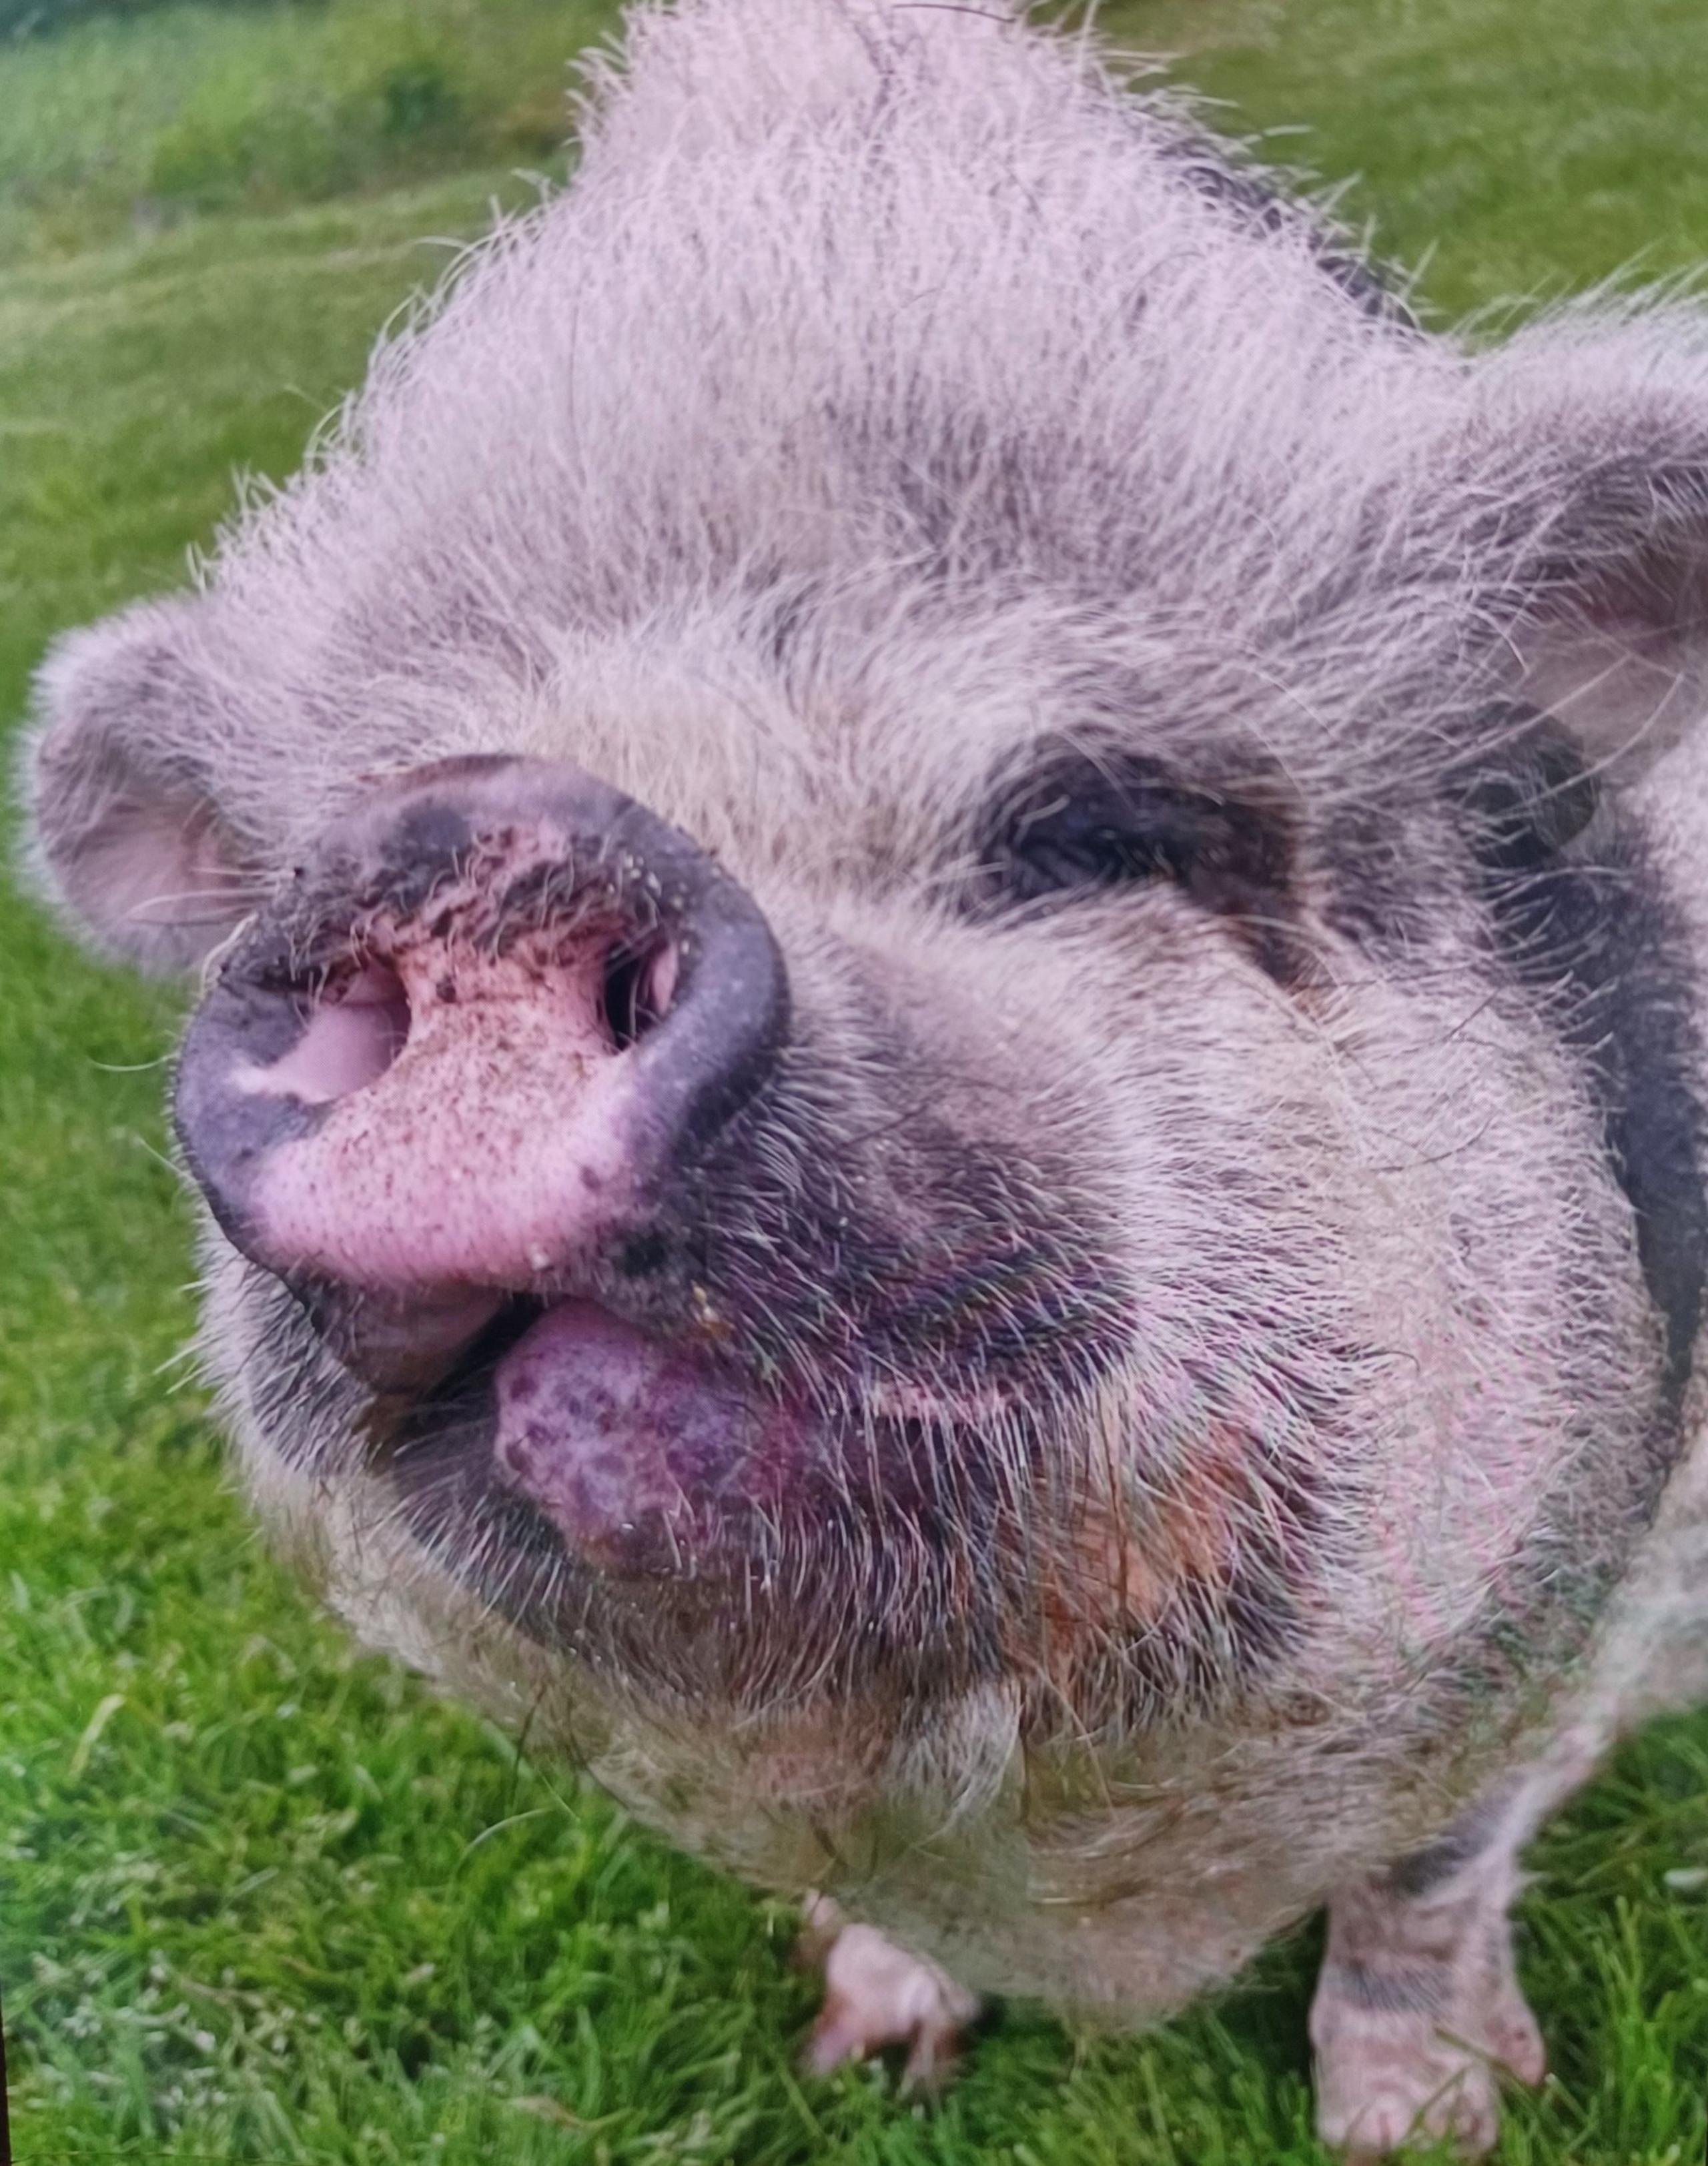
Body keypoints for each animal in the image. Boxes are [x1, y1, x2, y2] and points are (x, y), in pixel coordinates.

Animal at [17, 0, 1708, 2152]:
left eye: (1084, 825)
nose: (475, 828)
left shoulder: (1591, 1569)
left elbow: (1429, 1861)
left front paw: (1426, 2124)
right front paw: (866, 2057)